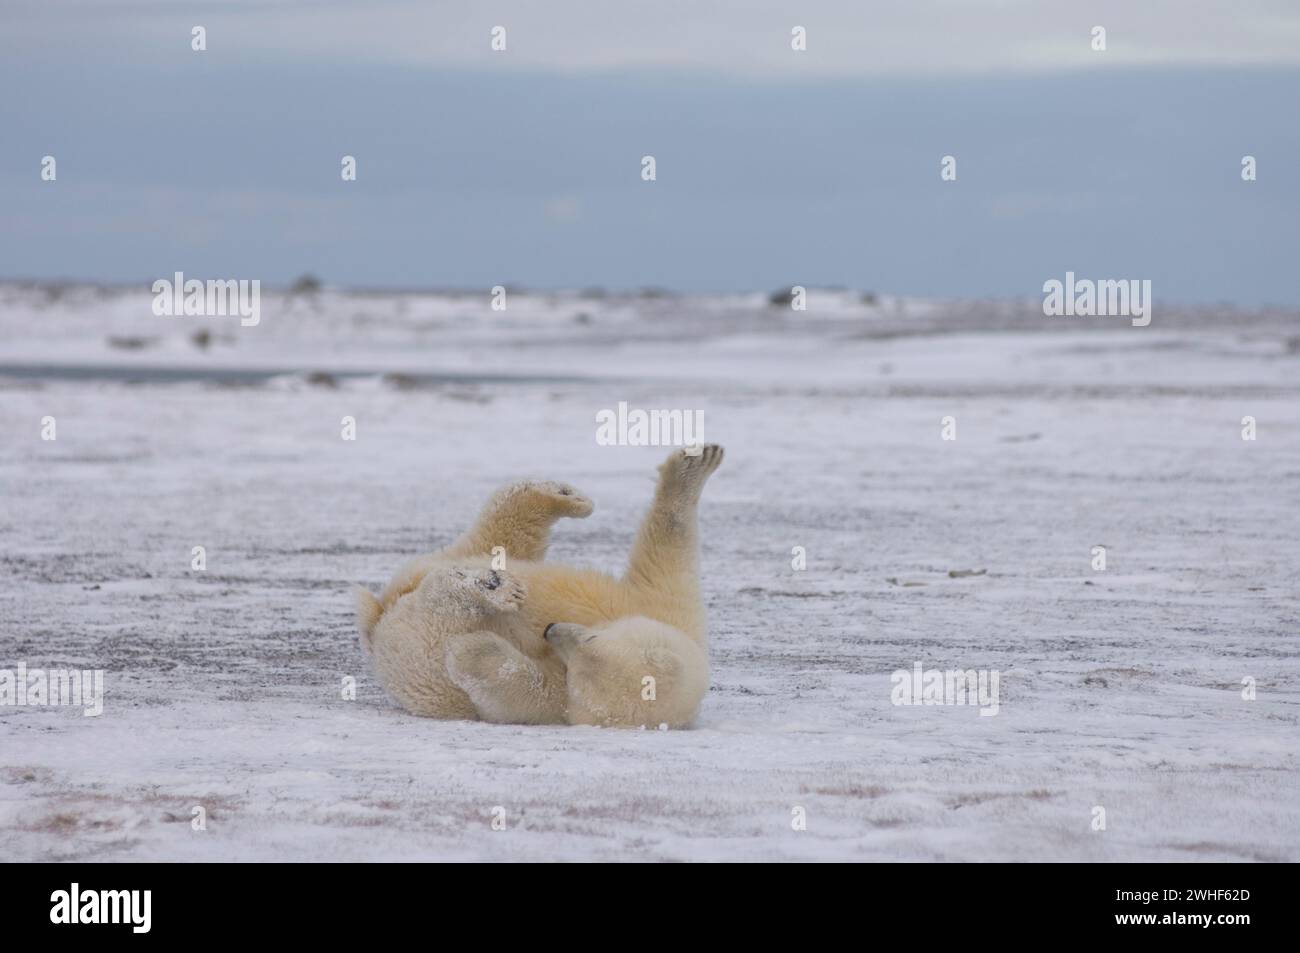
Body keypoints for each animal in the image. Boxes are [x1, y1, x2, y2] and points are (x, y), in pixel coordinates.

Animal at [354, 444, 723, 728]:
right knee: (503, 535)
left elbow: (519, 686)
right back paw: (564, 498)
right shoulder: (667, 607)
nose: (550, 629)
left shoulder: (562, 701)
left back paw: (493, 587)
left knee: (450, 592)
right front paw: (693, 466)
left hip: (417, 638)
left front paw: (471, 649)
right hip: (436, 565)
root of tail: (378, 619)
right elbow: (667, 550)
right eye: (593, 638)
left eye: (580, 664)